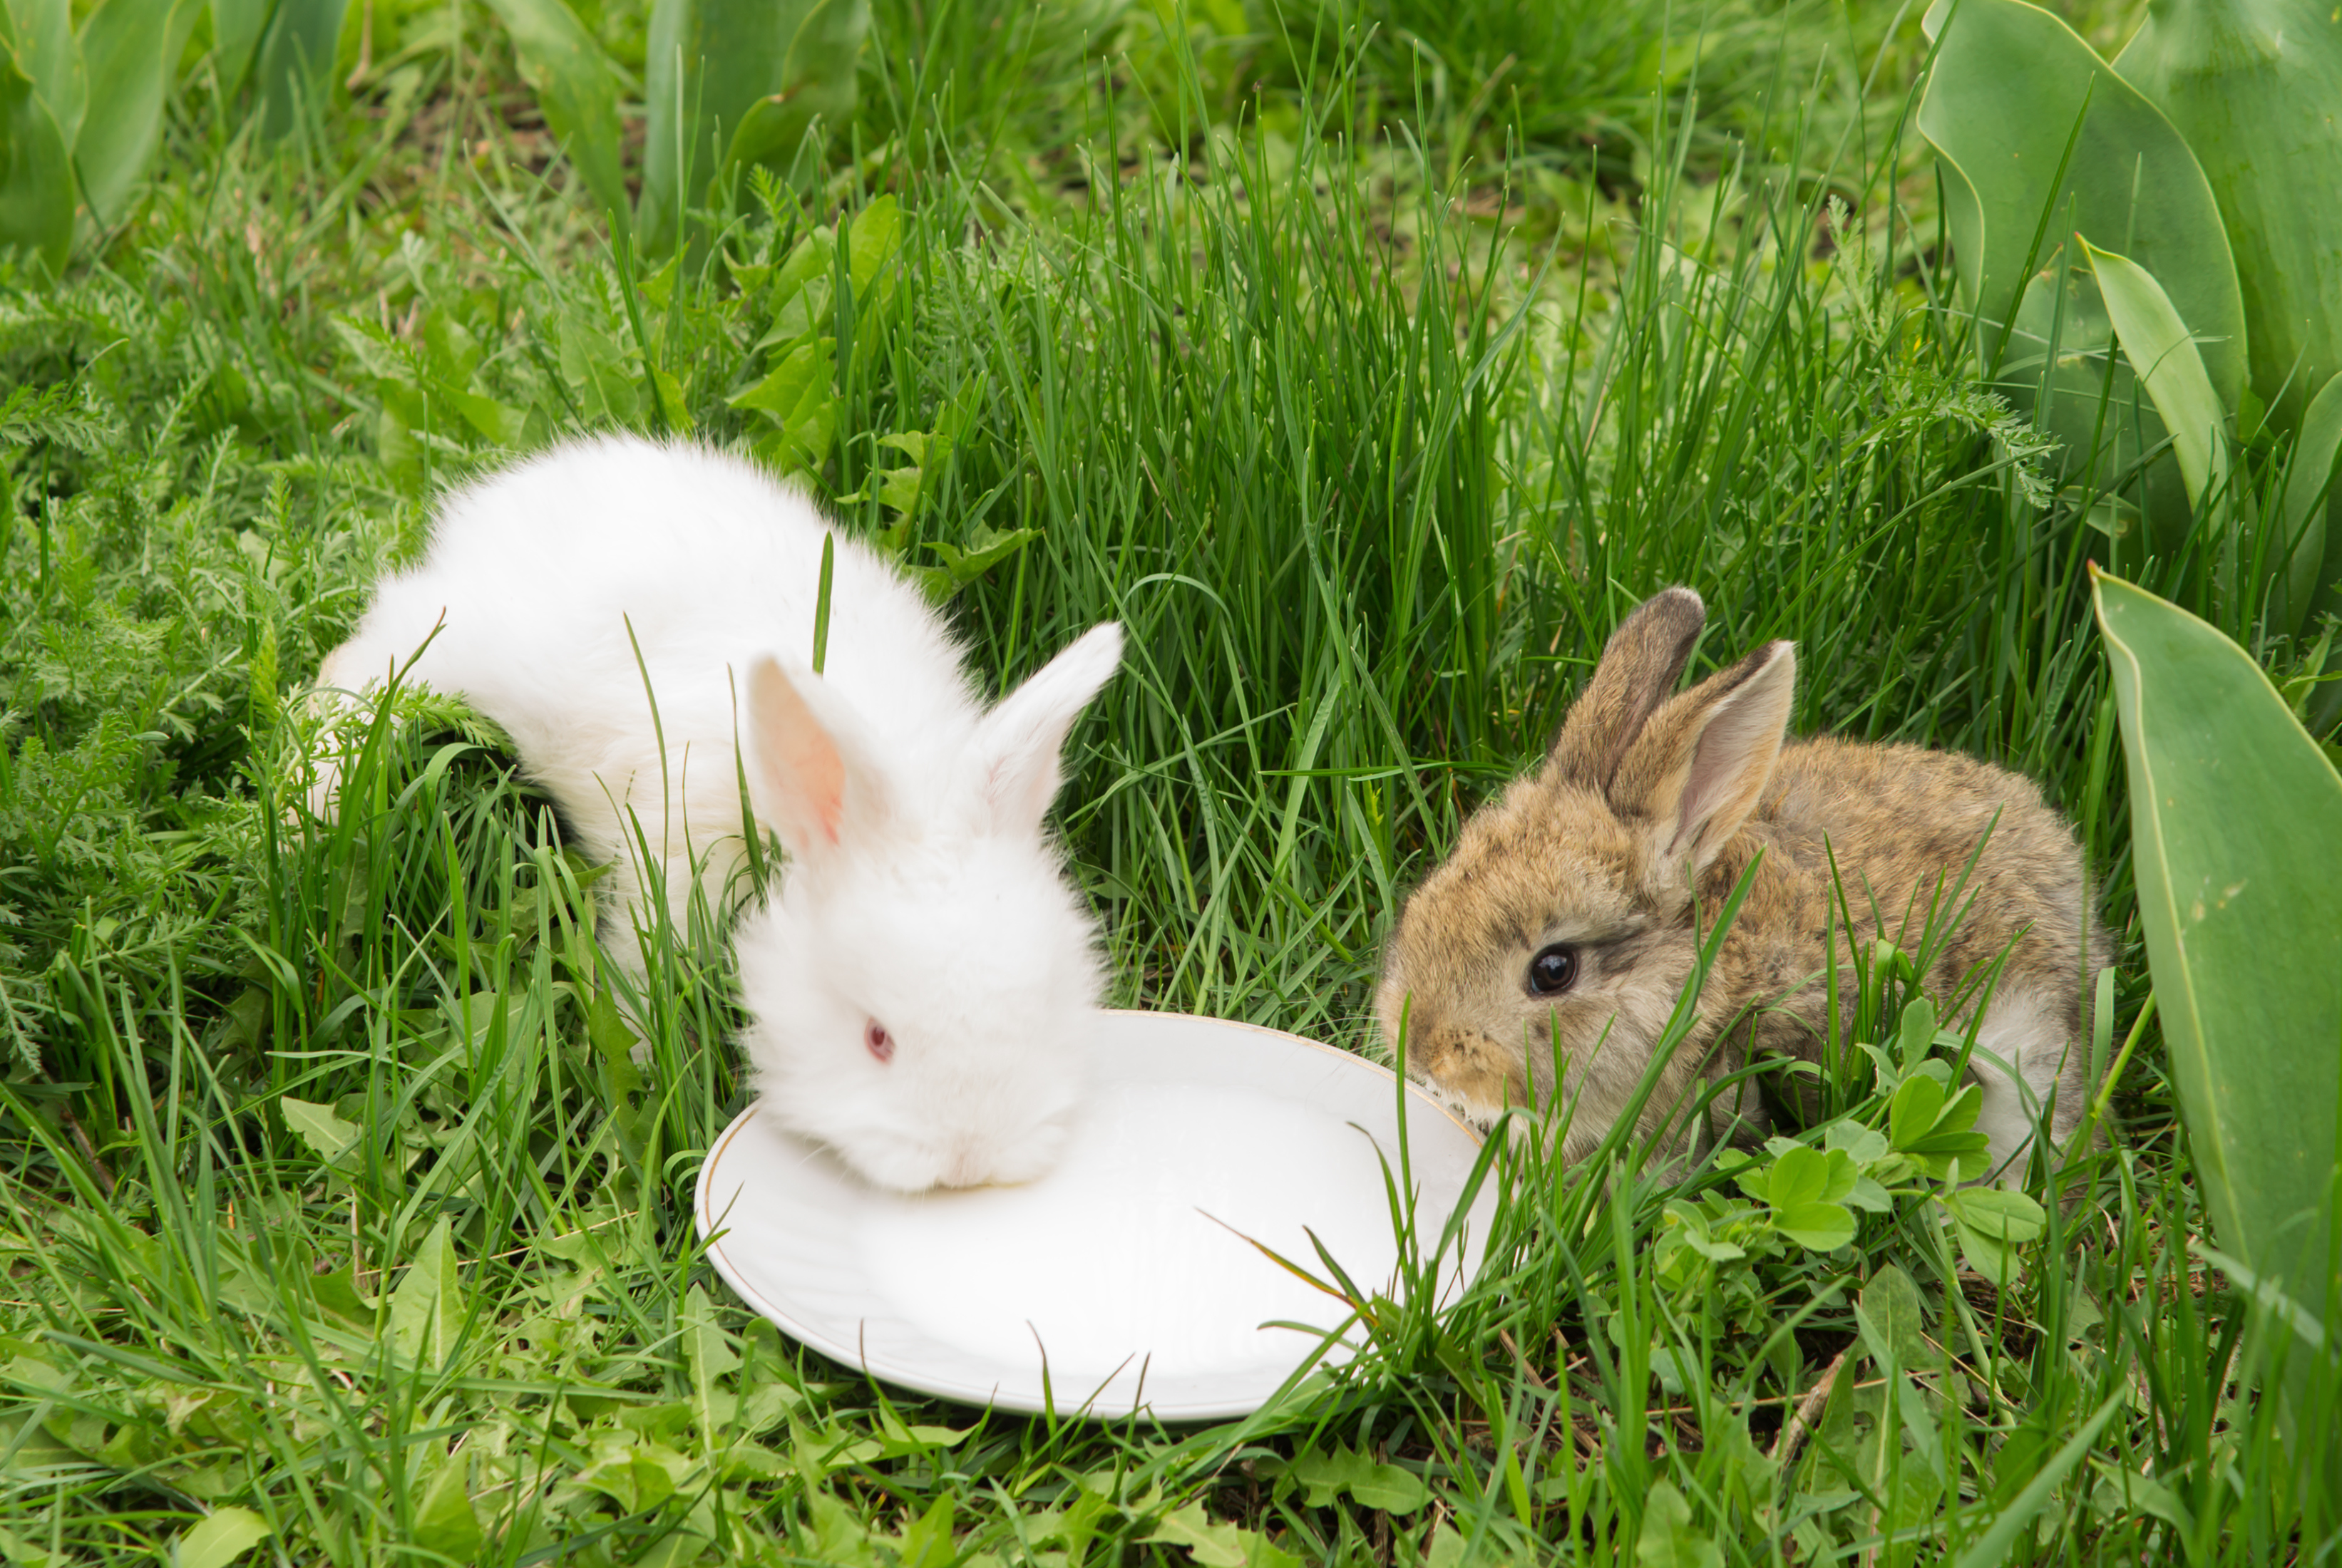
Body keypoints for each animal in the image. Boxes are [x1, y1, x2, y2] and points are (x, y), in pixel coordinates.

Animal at [304, 435, 1124, 1198]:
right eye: (876, 1038)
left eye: (1042, 1014)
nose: (967, 1163)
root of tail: (509, 494)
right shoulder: (669, 871)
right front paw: (637, 1067)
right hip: (453, 641)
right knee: (359, 663)